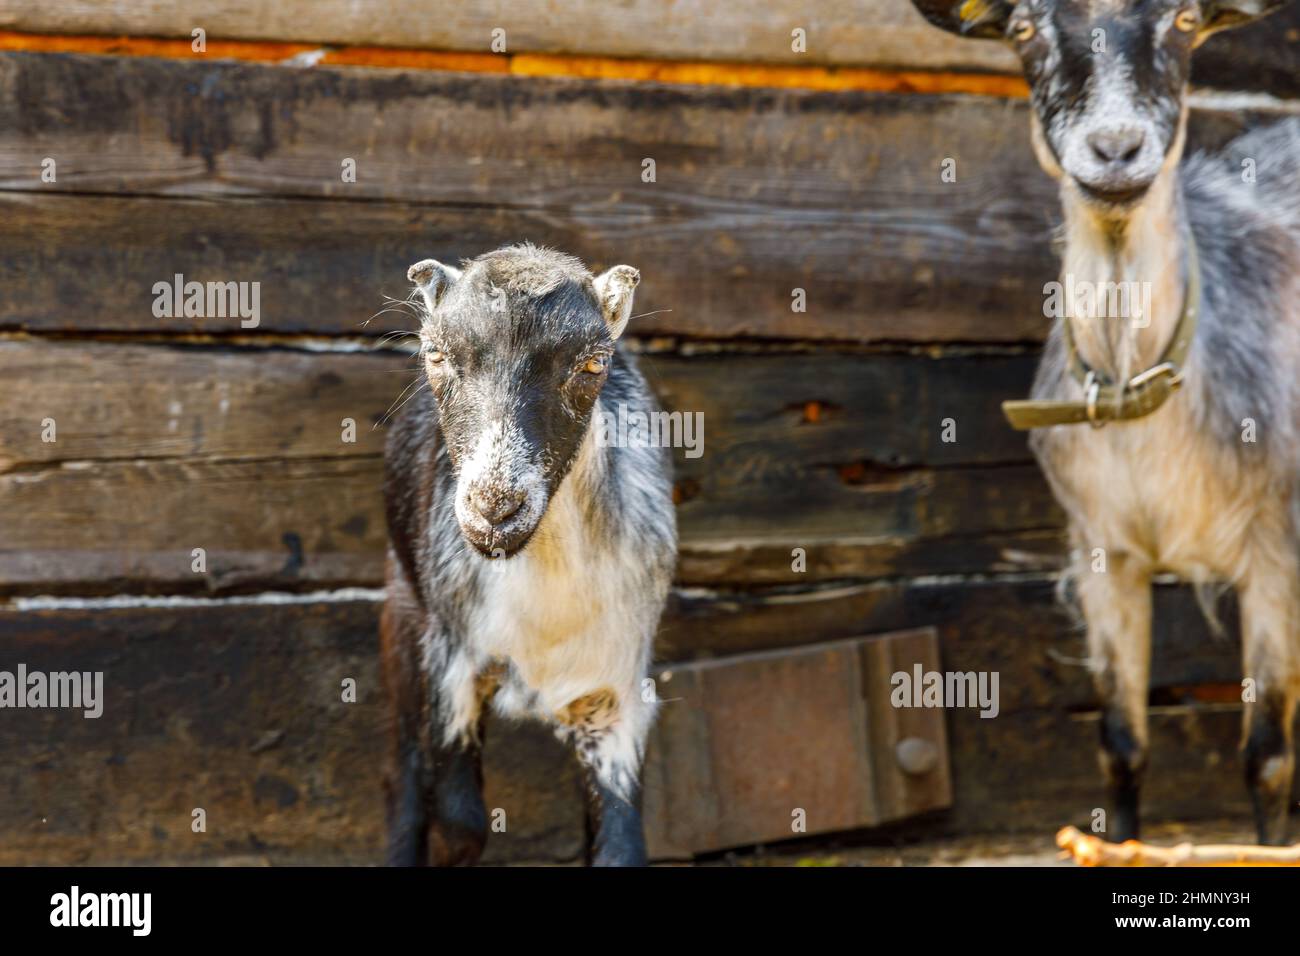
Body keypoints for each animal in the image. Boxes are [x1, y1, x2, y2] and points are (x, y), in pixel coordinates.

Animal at [380, 243, 677, 865]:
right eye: (435, 354)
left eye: (592, 365)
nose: (494, 508)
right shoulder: (449, 658)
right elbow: (460, 820)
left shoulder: (613, 690)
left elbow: (620, 847)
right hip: (400, 606)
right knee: (401, 774)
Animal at [912, 0, 1300, 843]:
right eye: (1024, 29)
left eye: (1184, 20)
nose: (1115, 149)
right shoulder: (1101, 549)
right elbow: (1120, 743)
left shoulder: (1276, 545)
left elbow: (1267, 756)